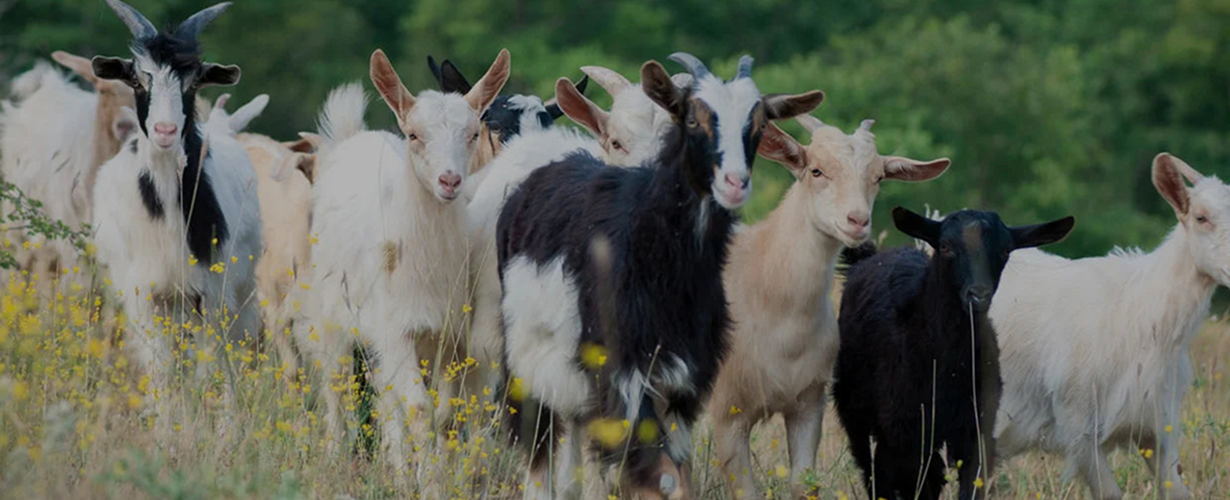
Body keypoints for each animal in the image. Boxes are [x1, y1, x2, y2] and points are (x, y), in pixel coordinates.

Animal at [88, 0, 262, 412]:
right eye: (138, 80)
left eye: (194, 82)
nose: (166, 131)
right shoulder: (144, 296)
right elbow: (163, 375)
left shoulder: (212, 292)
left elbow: (214, 370)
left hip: (241, 290)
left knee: (232, 354)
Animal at [290, 49, 509, 470]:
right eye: (414, 135)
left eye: (473, 134)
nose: (449, 181)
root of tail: (354, 139)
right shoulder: (396, 331)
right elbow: (420, 410)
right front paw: (429, 477)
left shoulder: (452, 338)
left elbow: (445, 413)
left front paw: (438, 471)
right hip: (331, 317)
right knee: (336, 386)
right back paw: (338, 456)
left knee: (384, 392)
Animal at [495, 53, 823, 500]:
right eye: (693, 119)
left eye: (756, 126)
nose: (734, 183)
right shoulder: (624, 376)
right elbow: (656, 474)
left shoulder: (685, 381)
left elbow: (676, 476)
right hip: (527, 364)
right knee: (539, 451)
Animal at [709, 117, 950, 499]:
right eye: (816, 170)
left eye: (878, 177)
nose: (857, 221)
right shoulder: (728, 410)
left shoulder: (809, 404)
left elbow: (803, 483)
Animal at [833, 207, 1074, 500]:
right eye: (946, 246)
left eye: (1005, 250)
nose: (978, 295)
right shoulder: (906, 431)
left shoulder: (976, 427)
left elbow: (971, 483)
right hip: (855, 409)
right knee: (871, 467)